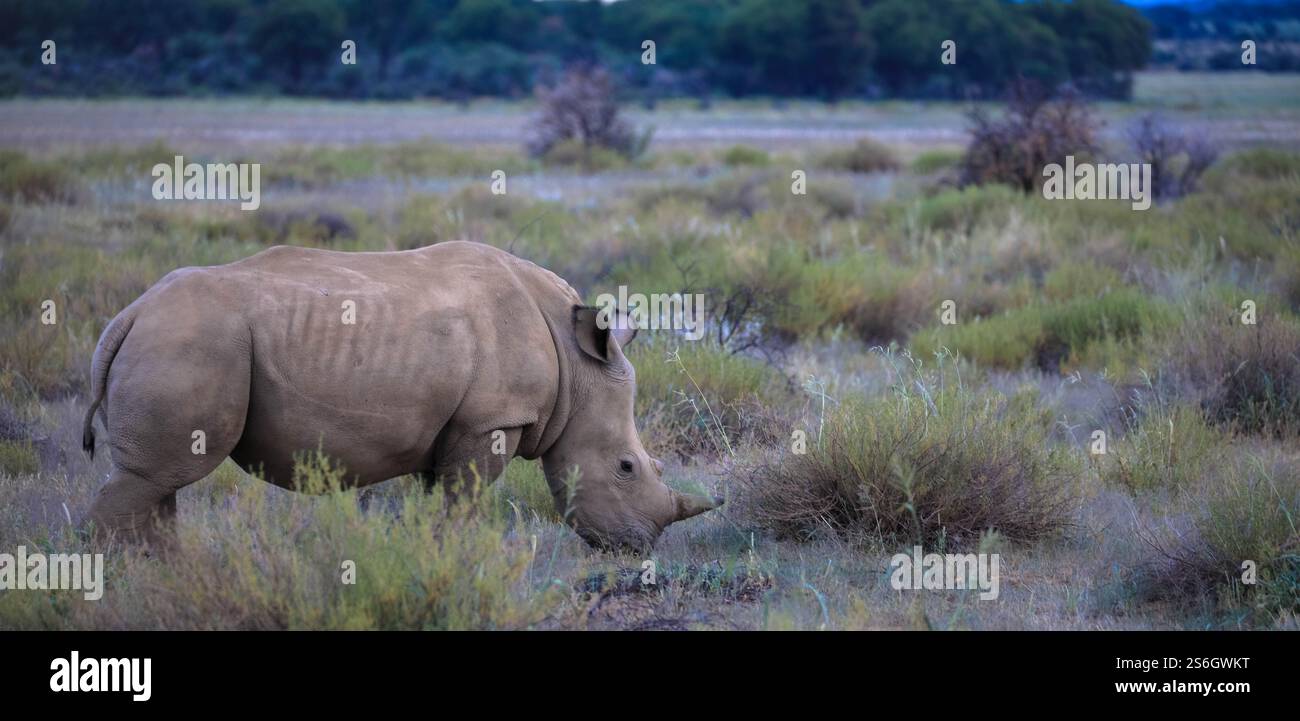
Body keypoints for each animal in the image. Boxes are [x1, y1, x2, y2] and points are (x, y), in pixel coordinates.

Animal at [81, 241, 721, 550]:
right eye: (627, 467)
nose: (637, 549)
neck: (576, 365)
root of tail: (129, 315)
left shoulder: (451, 426)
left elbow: (439, 501)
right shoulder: (493, 419)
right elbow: (464, 505)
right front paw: (458, 560)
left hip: (183, 339)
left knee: (160, 482)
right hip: (194, 341)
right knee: (154, 477)